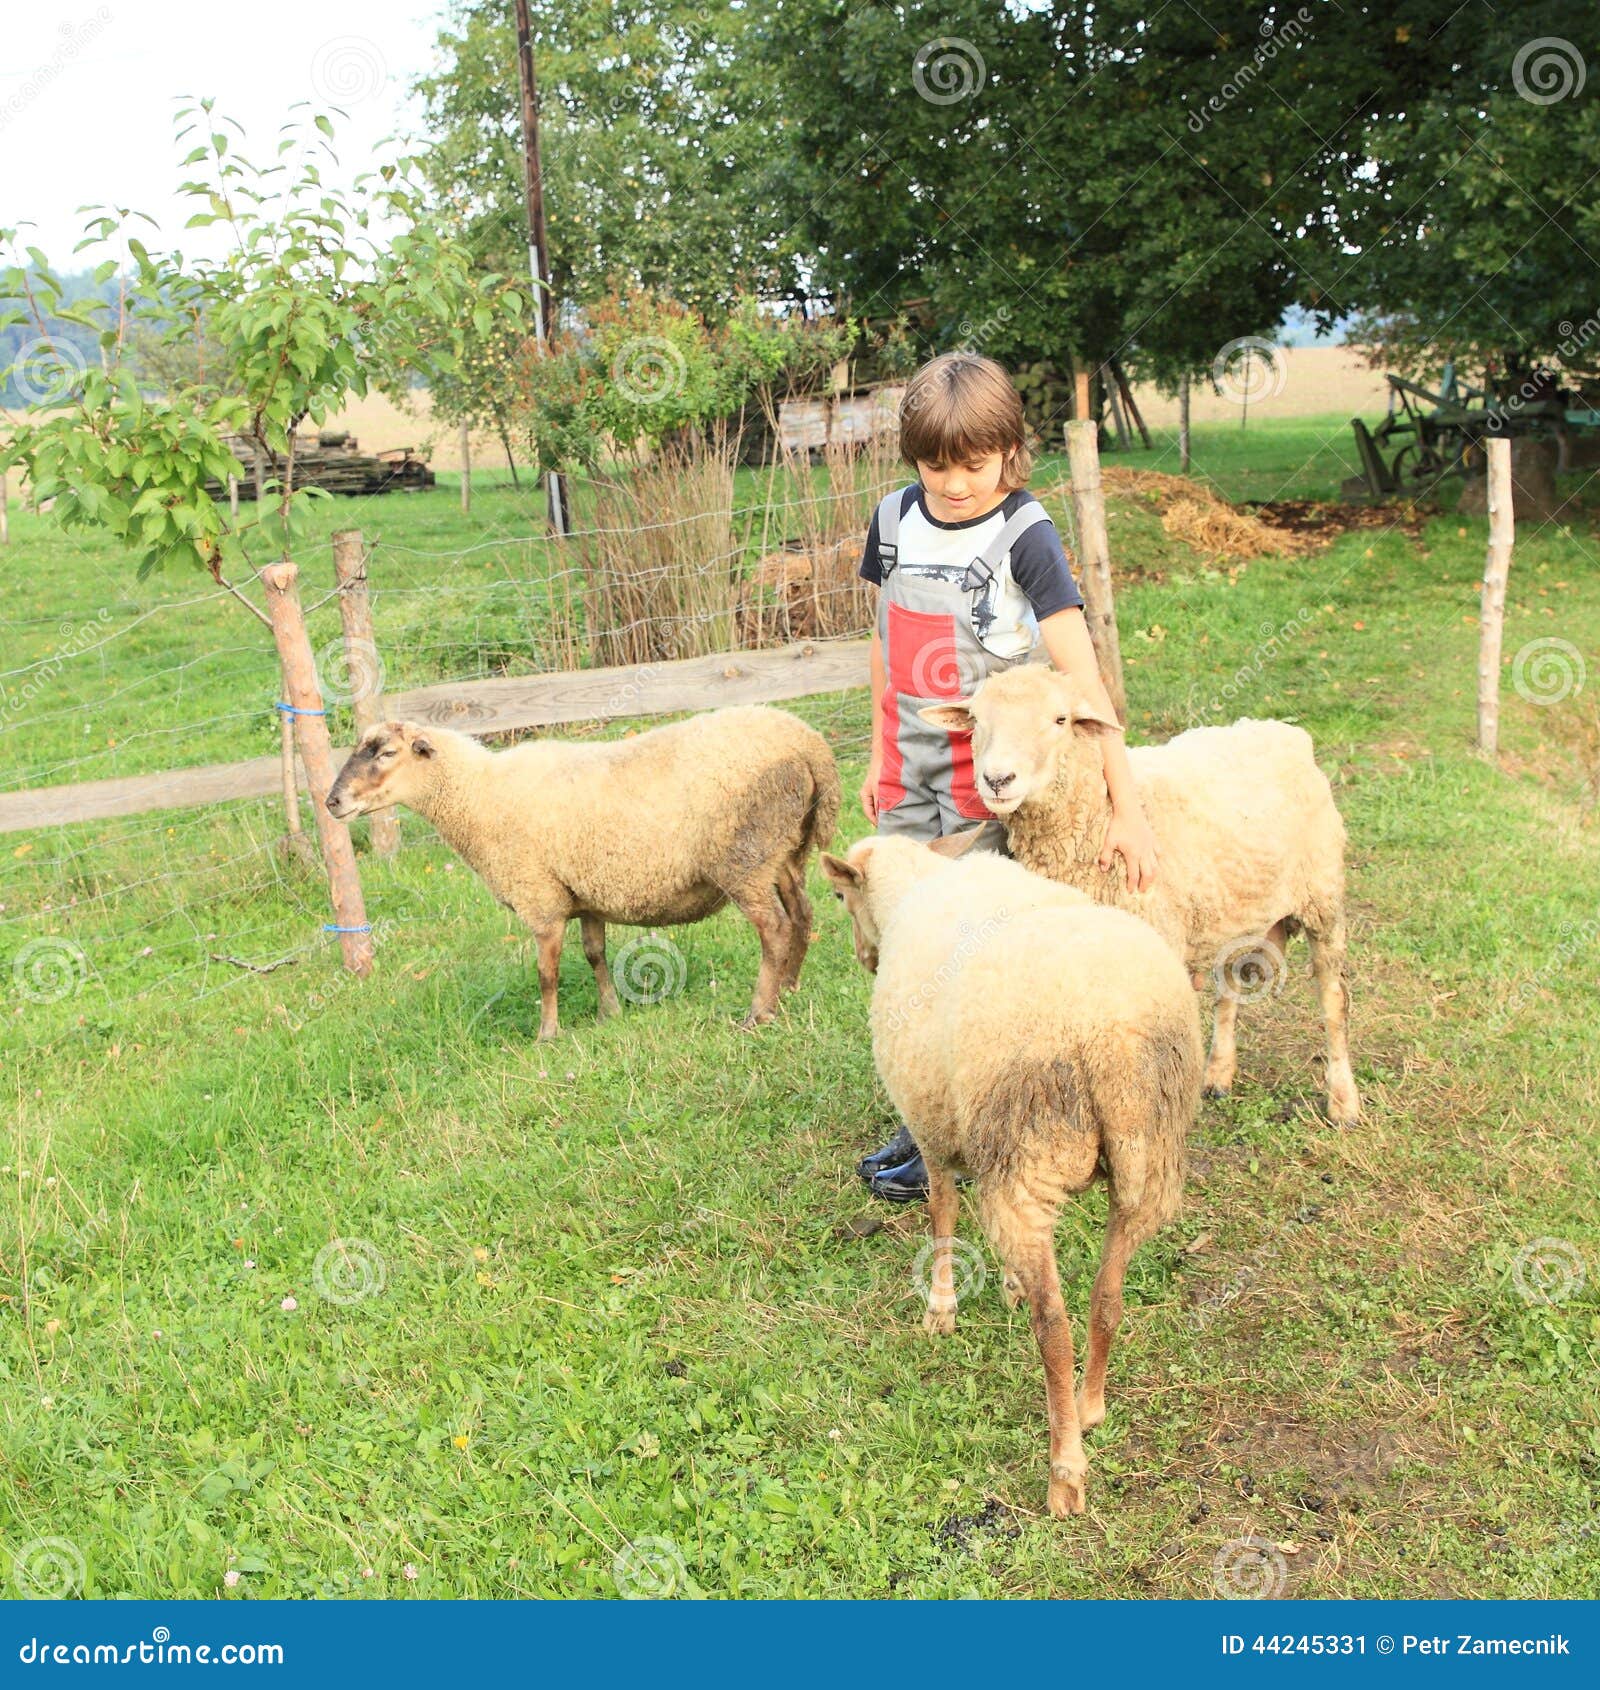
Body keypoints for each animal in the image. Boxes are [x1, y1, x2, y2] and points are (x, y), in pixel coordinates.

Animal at [327, 706, 840, 1037]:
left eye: (386, 753)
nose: (332, 802)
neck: (477, 796)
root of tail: (811, 745)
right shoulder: (585, 892)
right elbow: (595, 955)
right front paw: (609, 1013)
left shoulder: (540, 897)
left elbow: (546, 973)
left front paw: (547, 1034)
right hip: (784, 849)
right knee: (802, 914)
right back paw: (789, 988)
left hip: (744, 857)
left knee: (774, 927)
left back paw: (759, 1013)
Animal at [821, 835, 1203, 1518]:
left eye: (839, 896)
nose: (865, 958)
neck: (914, 887)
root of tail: (1110, 1038)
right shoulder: (978, 1139)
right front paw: (1008, 1283)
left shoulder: (932, 1122)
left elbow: (942, 1212)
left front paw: (941, 1308)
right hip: (1144, 1160)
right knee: (1107, 1297)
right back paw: (1090, 1407)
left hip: (1026, 1147)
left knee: (1055, 1328)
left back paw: (1065, 1472)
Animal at [919, 664, 1360, 1126]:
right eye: (975, 720)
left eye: (1060, 720)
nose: (997, 779)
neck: (1099, 819)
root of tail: (1283, 731)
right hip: (1234, 907)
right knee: (1229, 988)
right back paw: (1218, 1074)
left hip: (1323, 896)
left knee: (1334, 999)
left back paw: (1343, 1101)